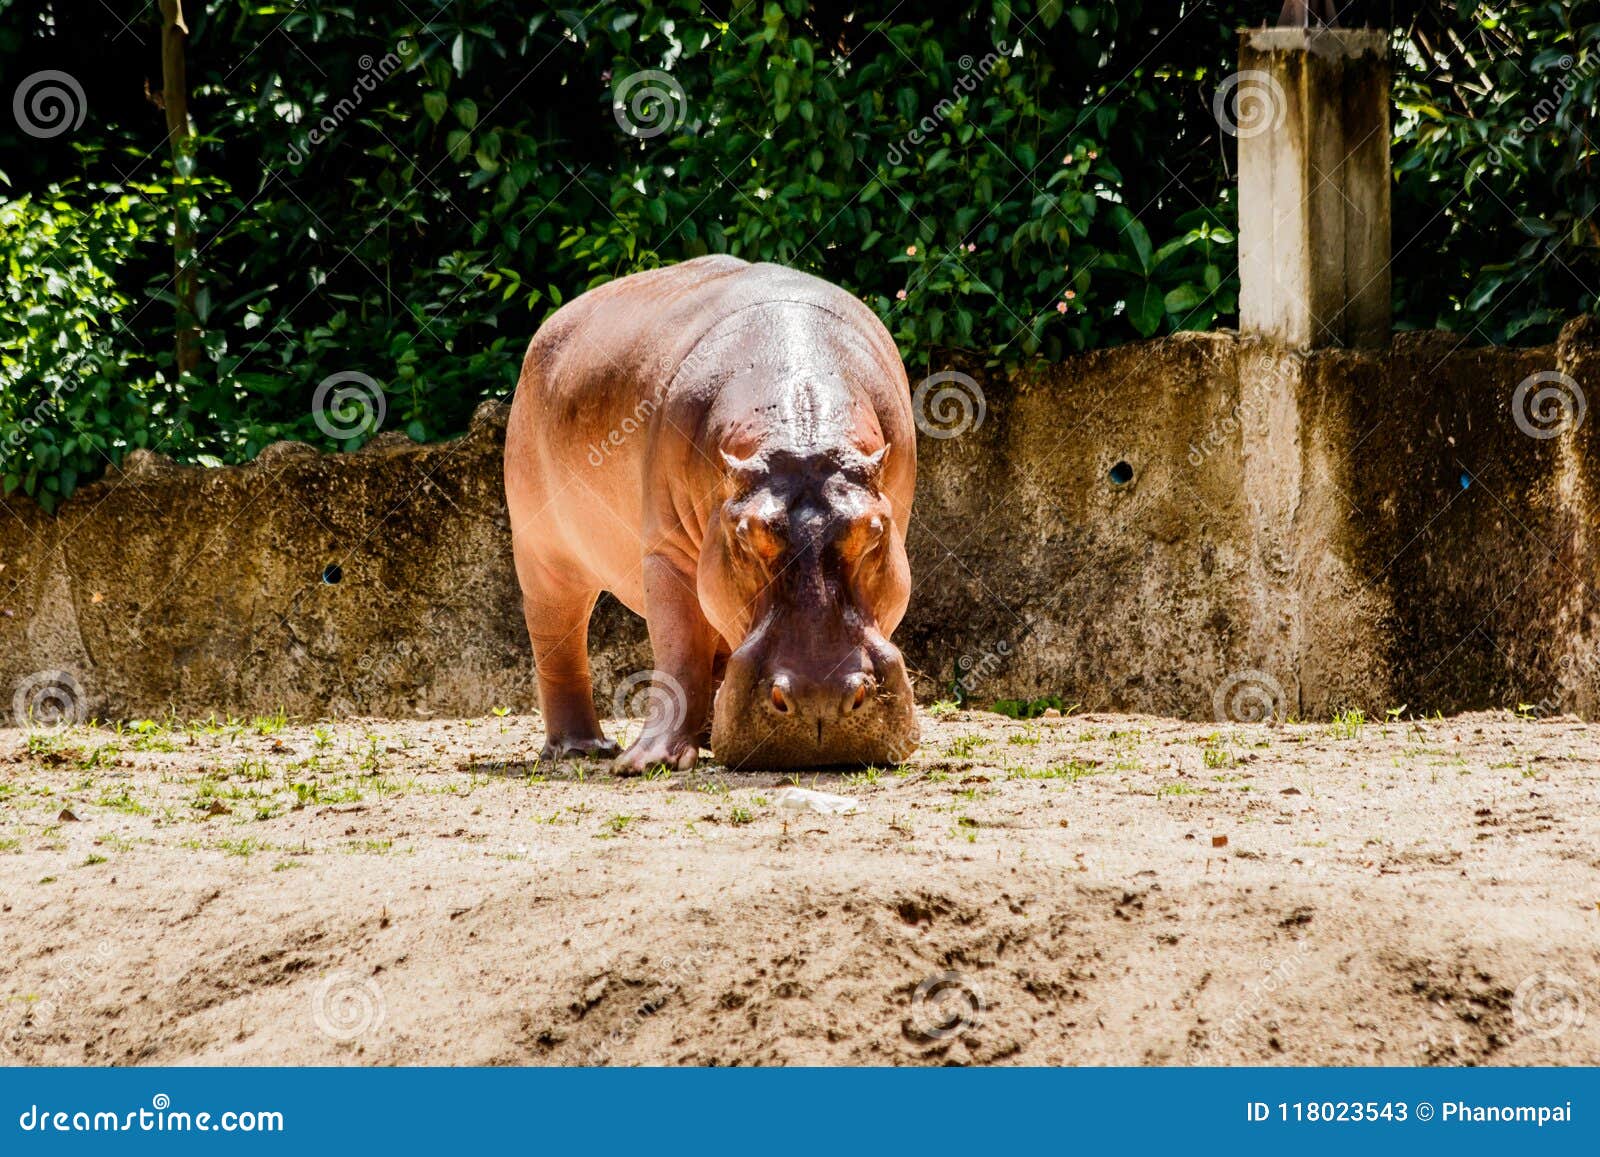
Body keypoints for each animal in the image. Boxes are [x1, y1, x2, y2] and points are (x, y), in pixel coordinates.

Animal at [504, 256, 919, 772]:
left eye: (873, 533)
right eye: (745, 536)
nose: (817, 702)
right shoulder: (669, 552)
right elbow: (679, 648)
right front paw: (647, 762)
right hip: (543, 553)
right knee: (557, 637)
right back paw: (582, 749)